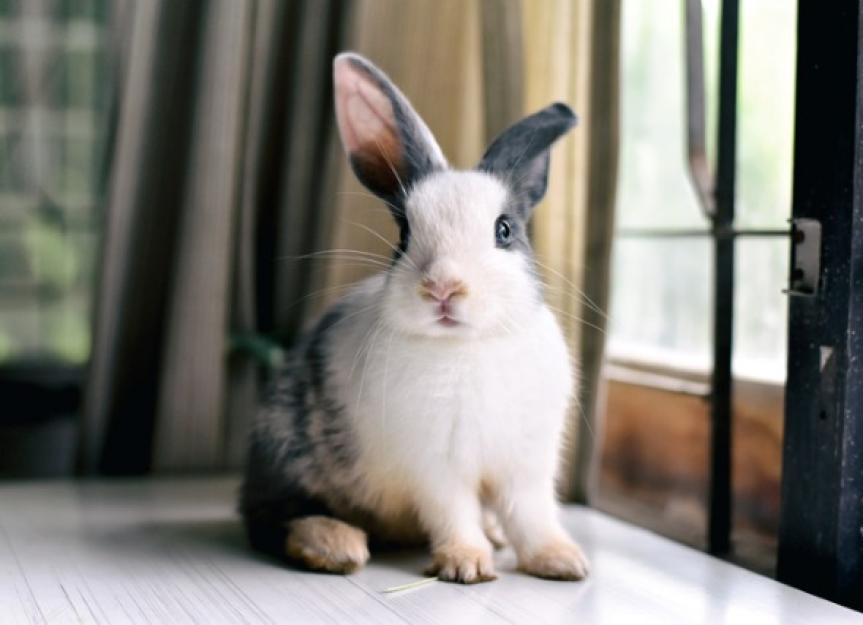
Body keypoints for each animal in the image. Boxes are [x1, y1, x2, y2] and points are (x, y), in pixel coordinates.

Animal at [239, 51, 589, 584]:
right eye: (403, 235)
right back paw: (335, 544)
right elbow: (454, 513)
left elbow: (532, 515)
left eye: (504, 230)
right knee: (271, 516)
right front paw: (467, 565)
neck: (468, 345)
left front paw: (563, 562)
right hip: (286, 451)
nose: (443, 287)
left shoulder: (526, 464)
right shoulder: (436, 466)